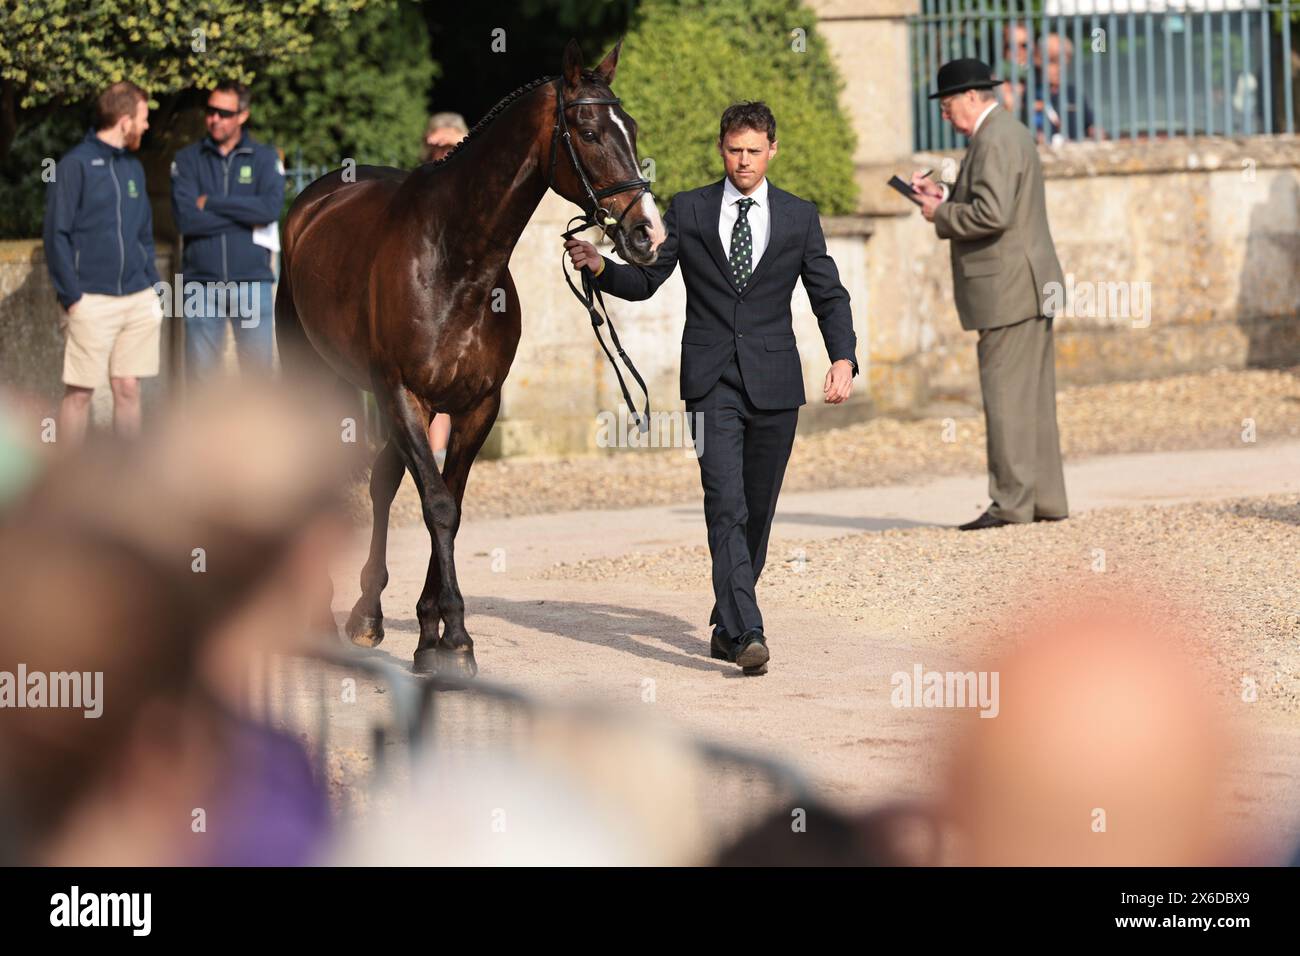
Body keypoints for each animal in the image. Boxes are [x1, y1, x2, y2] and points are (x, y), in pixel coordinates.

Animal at [275, 39, 665, 677]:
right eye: (587, 131)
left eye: (629, 127)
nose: (647, 234)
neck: (454, 256)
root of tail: (314, 199)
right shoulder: (403, 393)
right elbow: (436, 504)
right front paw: (454, 637)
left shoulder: (477, 404)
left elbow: (450, 502)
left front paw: (435, 634)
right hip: (322, 377)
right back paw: (318, 616)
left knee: (382, 480)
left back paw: (367, 615)